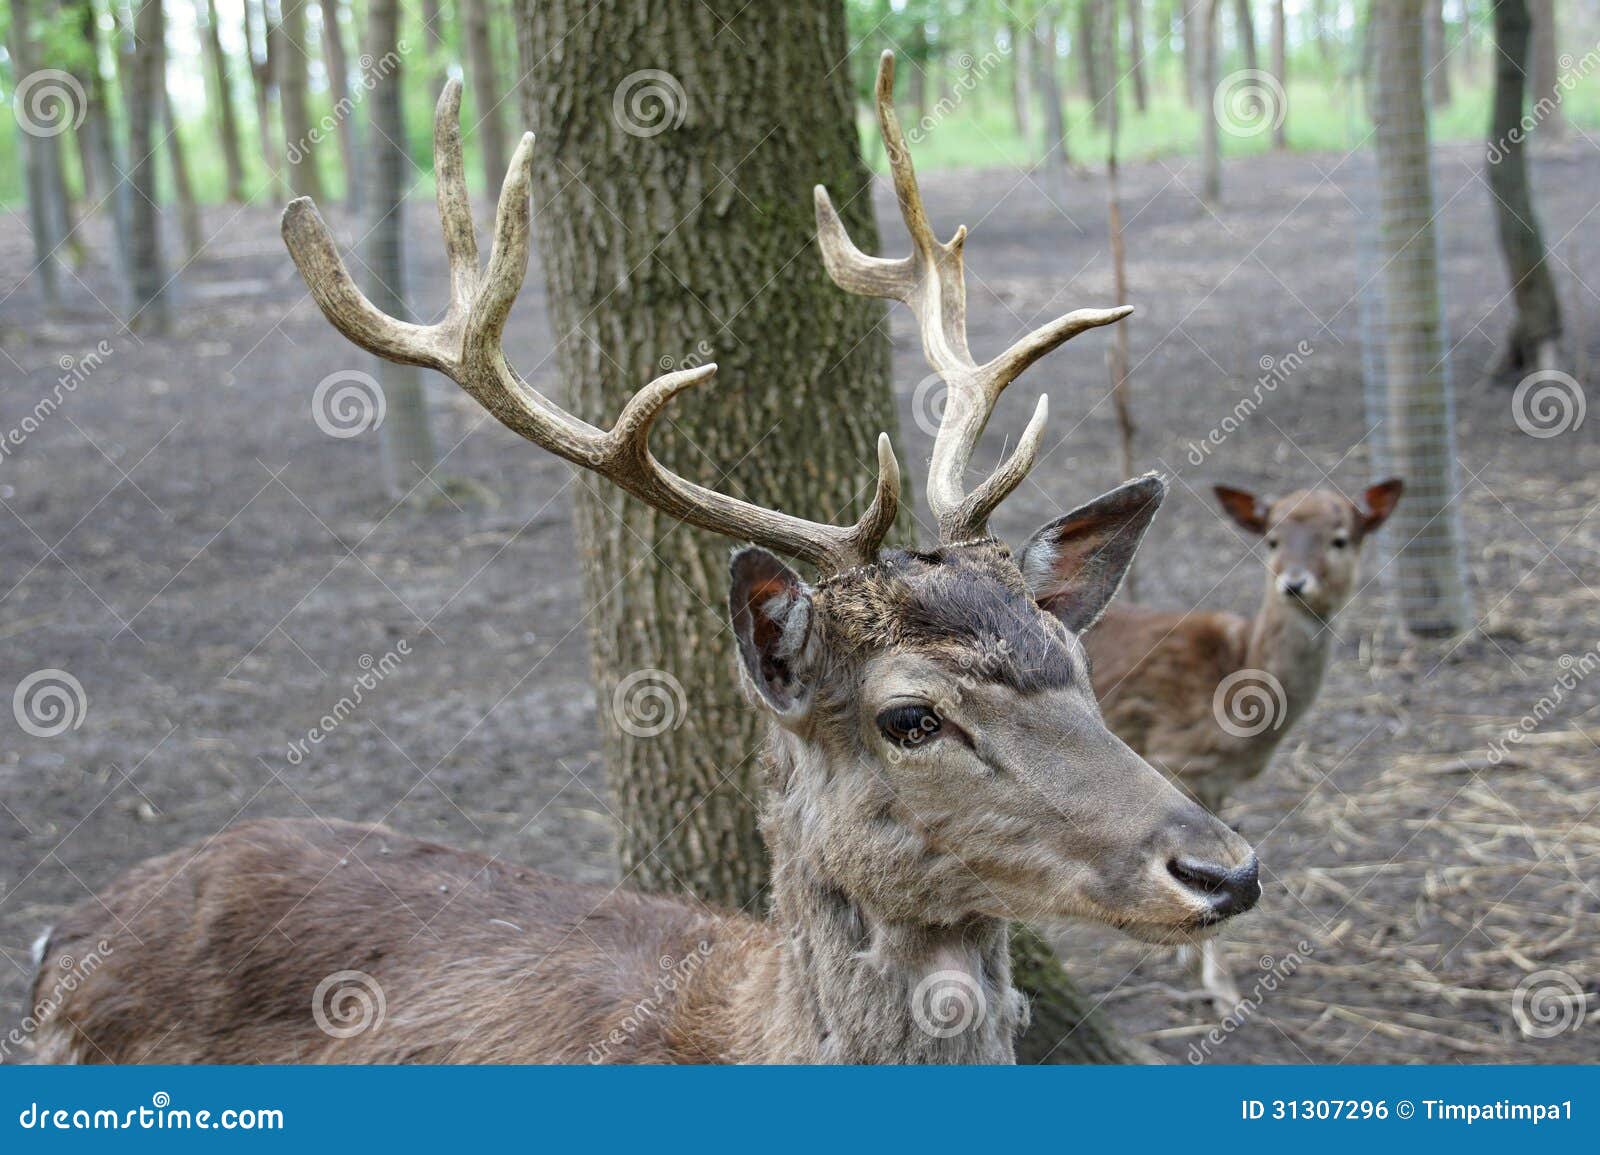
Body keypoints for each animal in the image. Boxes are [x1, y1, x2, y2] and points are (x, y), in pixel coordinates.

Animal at [1047, 479, 1402, 1007]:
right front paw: (1219, 986)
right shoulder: (1176, 756)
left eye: (1340, 539)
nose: (1294, 583)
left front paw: (1189, 961)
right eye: (1272, 539)